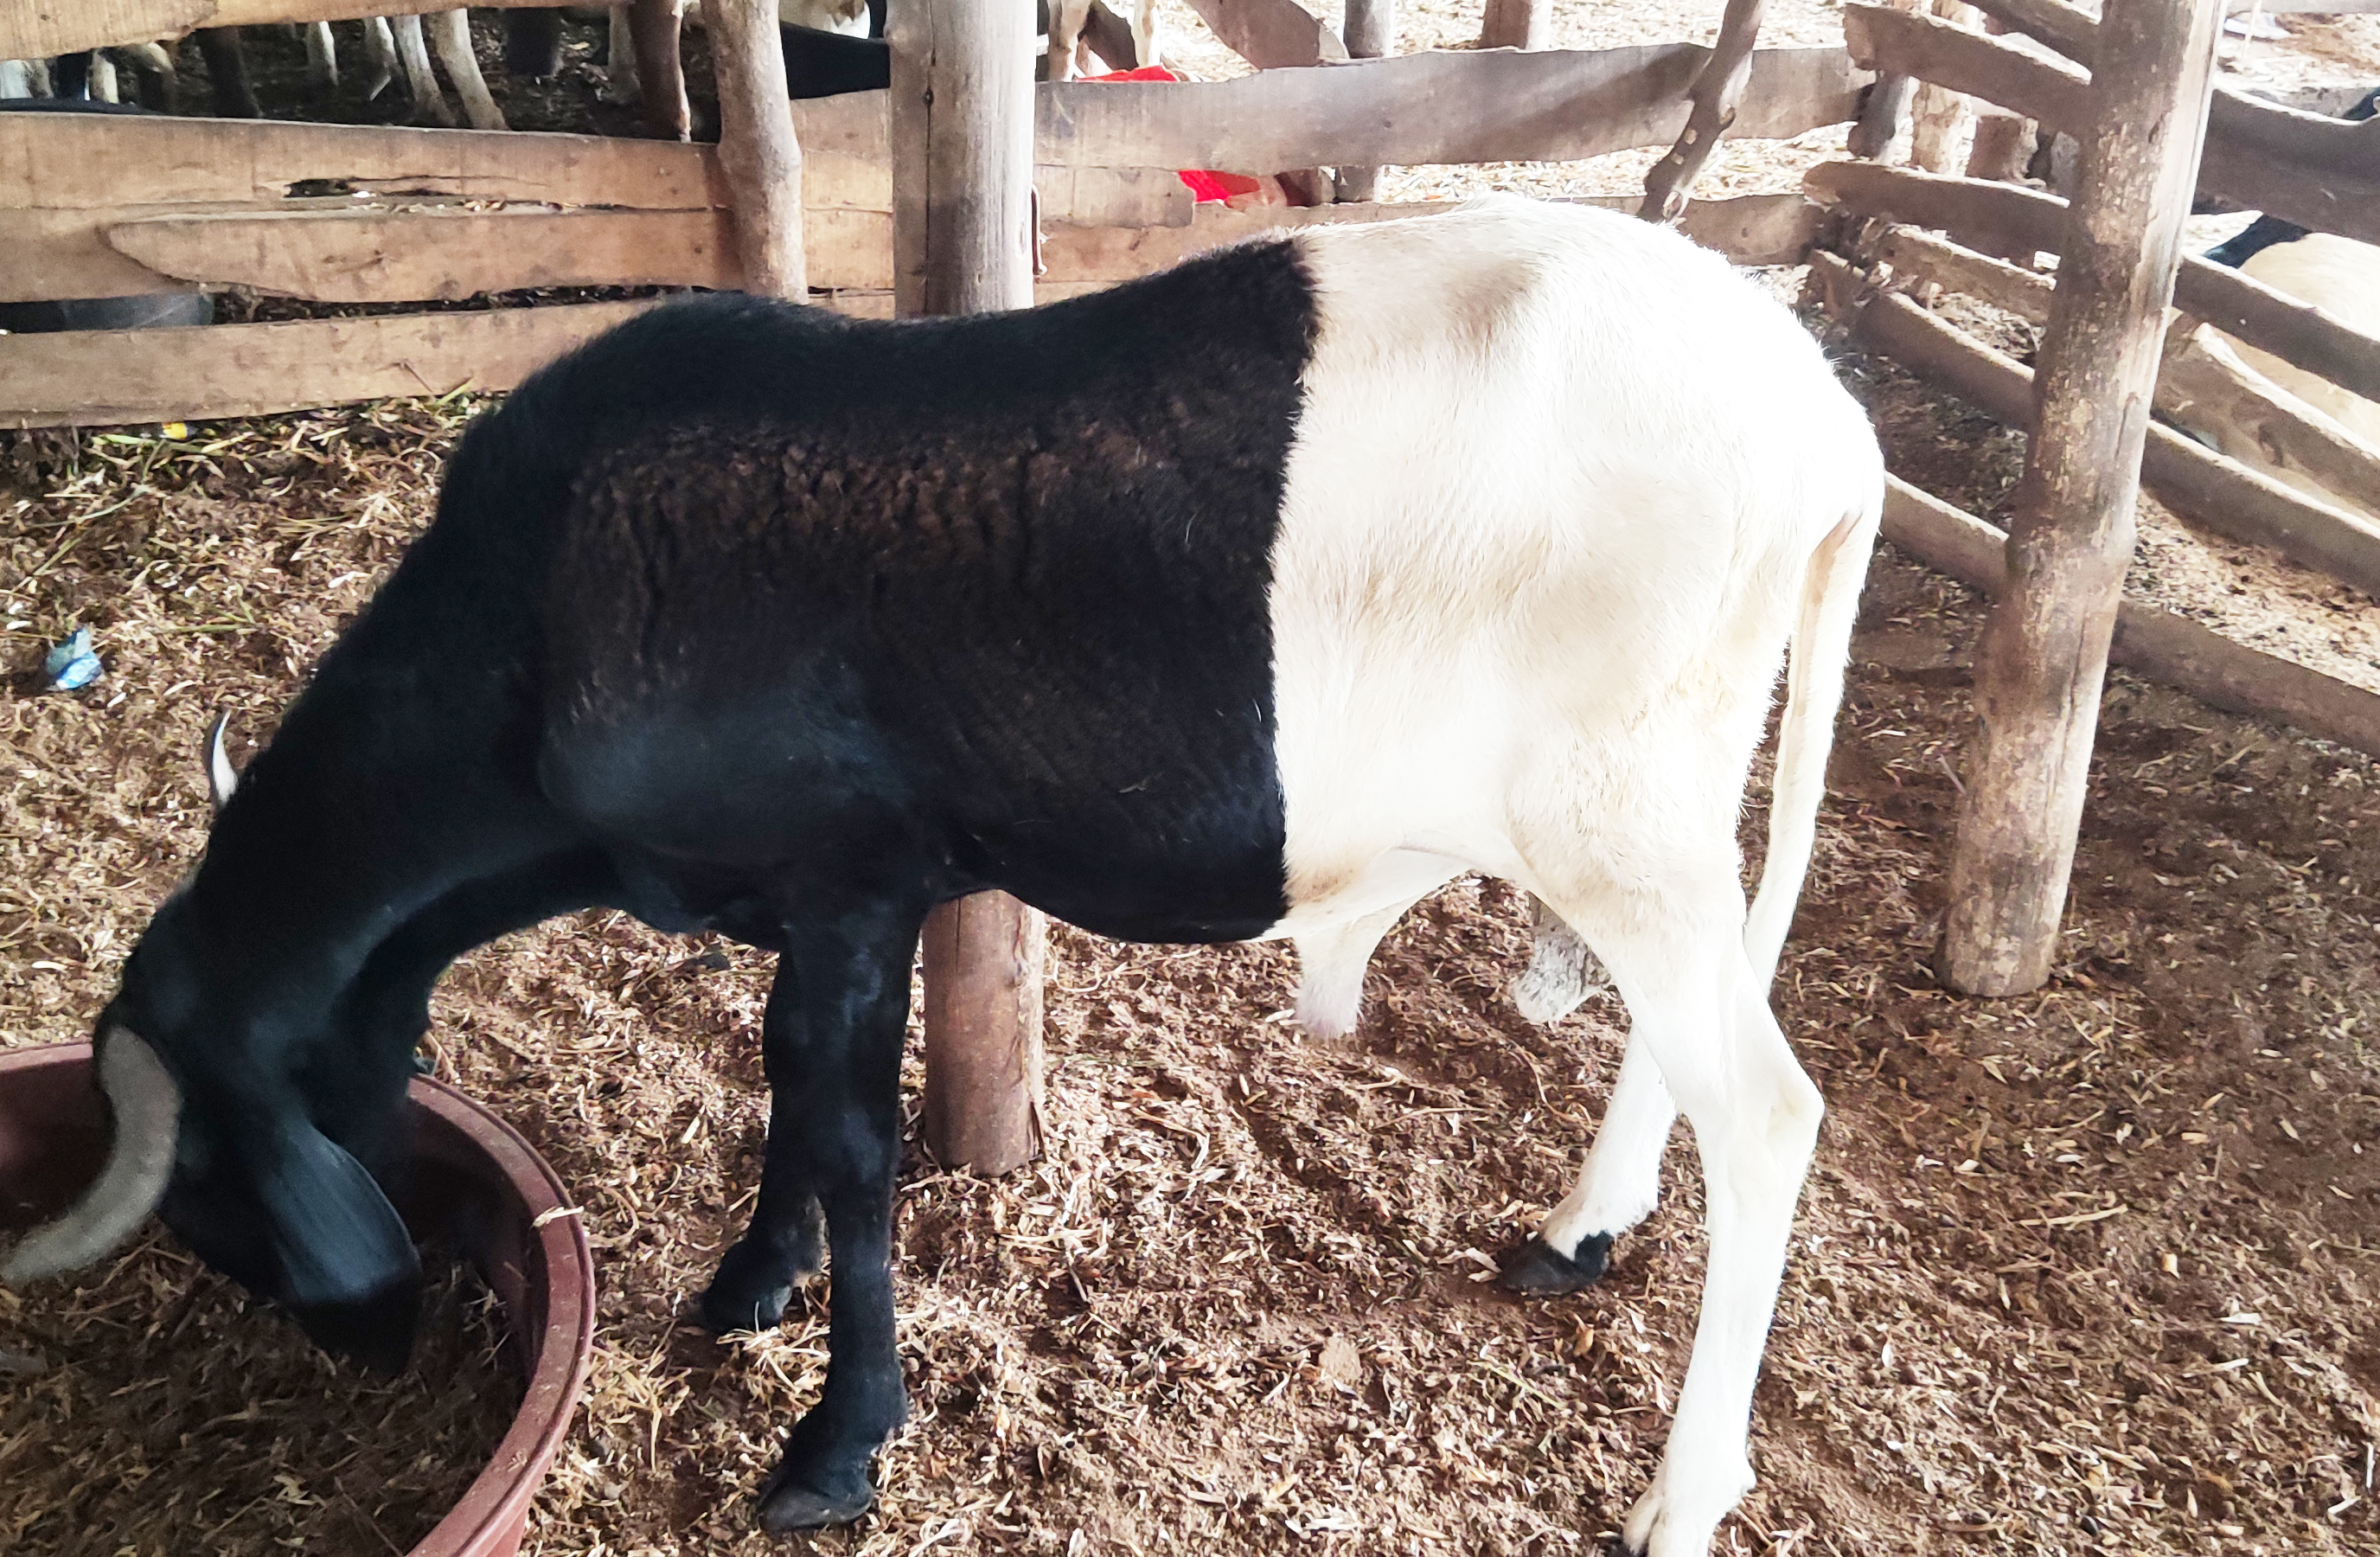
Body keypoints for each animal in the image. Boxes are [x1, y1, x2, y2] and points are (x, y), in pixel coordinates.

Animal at [1, 196, 1881, 1557]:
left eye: (198, 1187)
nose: (356, 1347)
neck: (539, 618)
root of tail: (1828, 426)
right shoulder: (818, 901)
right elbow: (787, 1092)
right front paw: (750, 1286)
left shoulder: (851, 877)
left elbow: (847, 1133)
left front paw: (836, 1445)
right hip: (1652, 818)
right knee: (1688, 1037)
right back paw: (1581, 1228)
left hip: (1612, 813)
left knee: (1769, 1112)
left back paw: (1680, 1495)